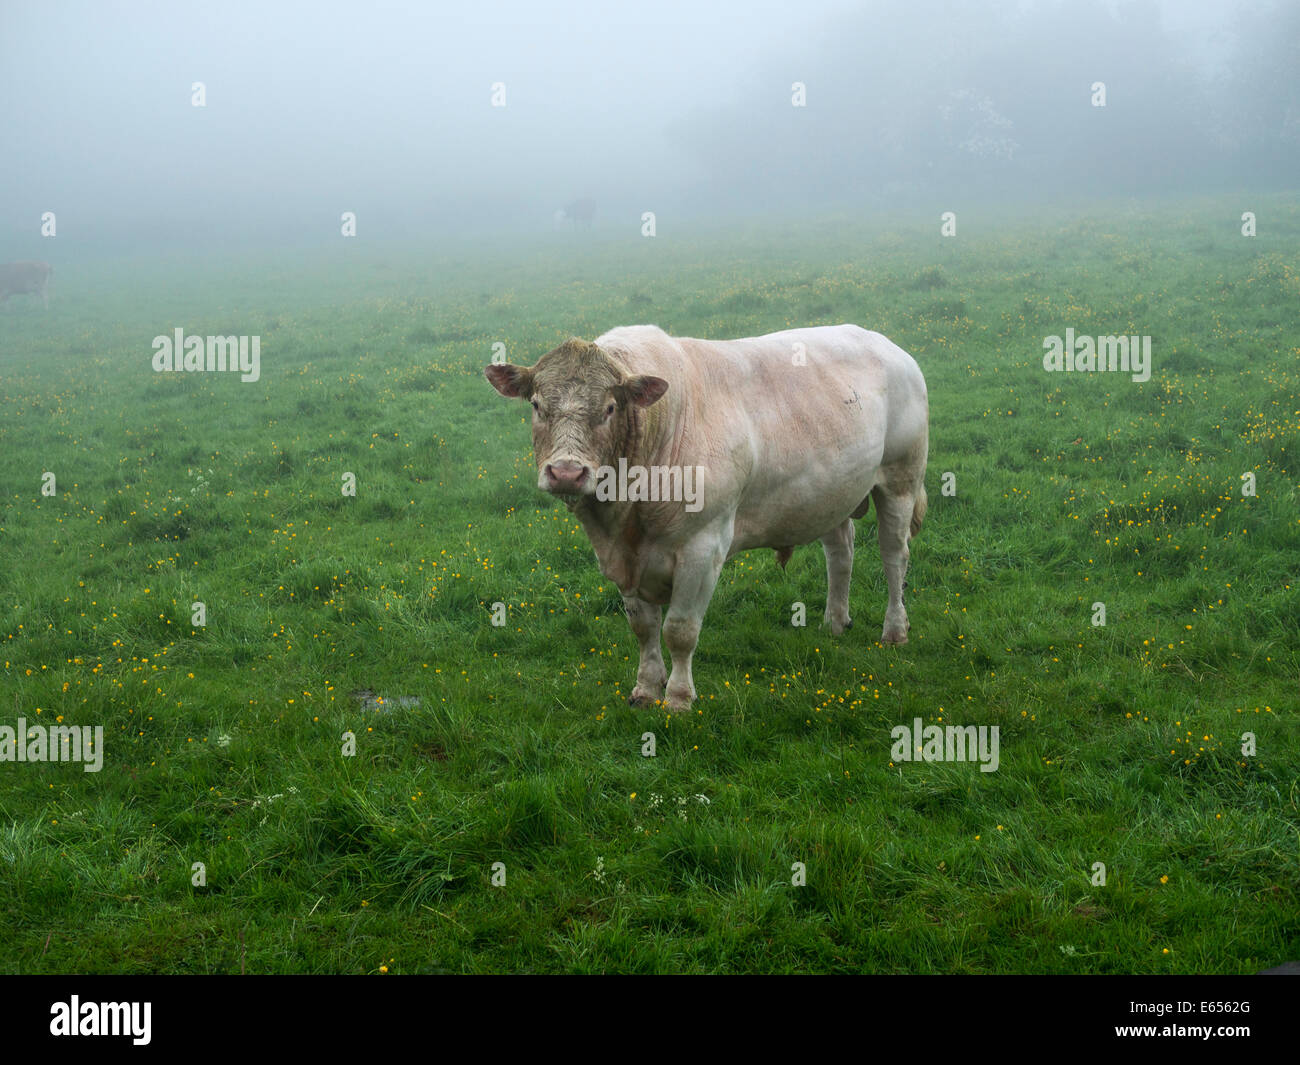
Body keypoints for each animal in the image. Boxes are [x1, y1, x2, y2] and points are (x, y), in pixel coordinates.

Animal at [486, 324, 929, 711]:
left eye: (610, 407)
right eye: (537, 405)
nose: (566, 472)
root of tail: (889, 346)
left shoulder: (703, 546)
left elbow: (680, 630)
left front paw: (679, 698)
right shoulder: (623, 557)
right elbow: (643, 628)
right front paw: (645, 689)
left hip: (901, 480)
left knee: (894, 556)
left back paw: (894, 629)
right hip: (833, 492)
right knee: (841, 554)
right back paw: (835, 622)